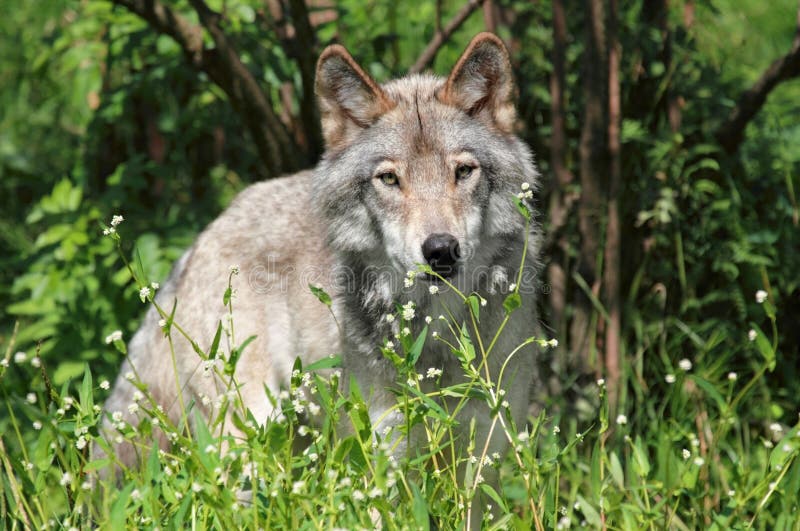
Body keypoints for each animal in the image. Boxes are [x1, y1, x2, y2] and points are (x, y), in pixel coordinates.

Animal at [102, 32, 541, 520]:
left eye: (463, 171)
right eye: (389, 179)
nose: (441, 250)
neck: (437, 334)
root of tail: (202, 238)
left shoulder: (486, 461)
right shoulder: (383, 464)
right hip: (247, 440)